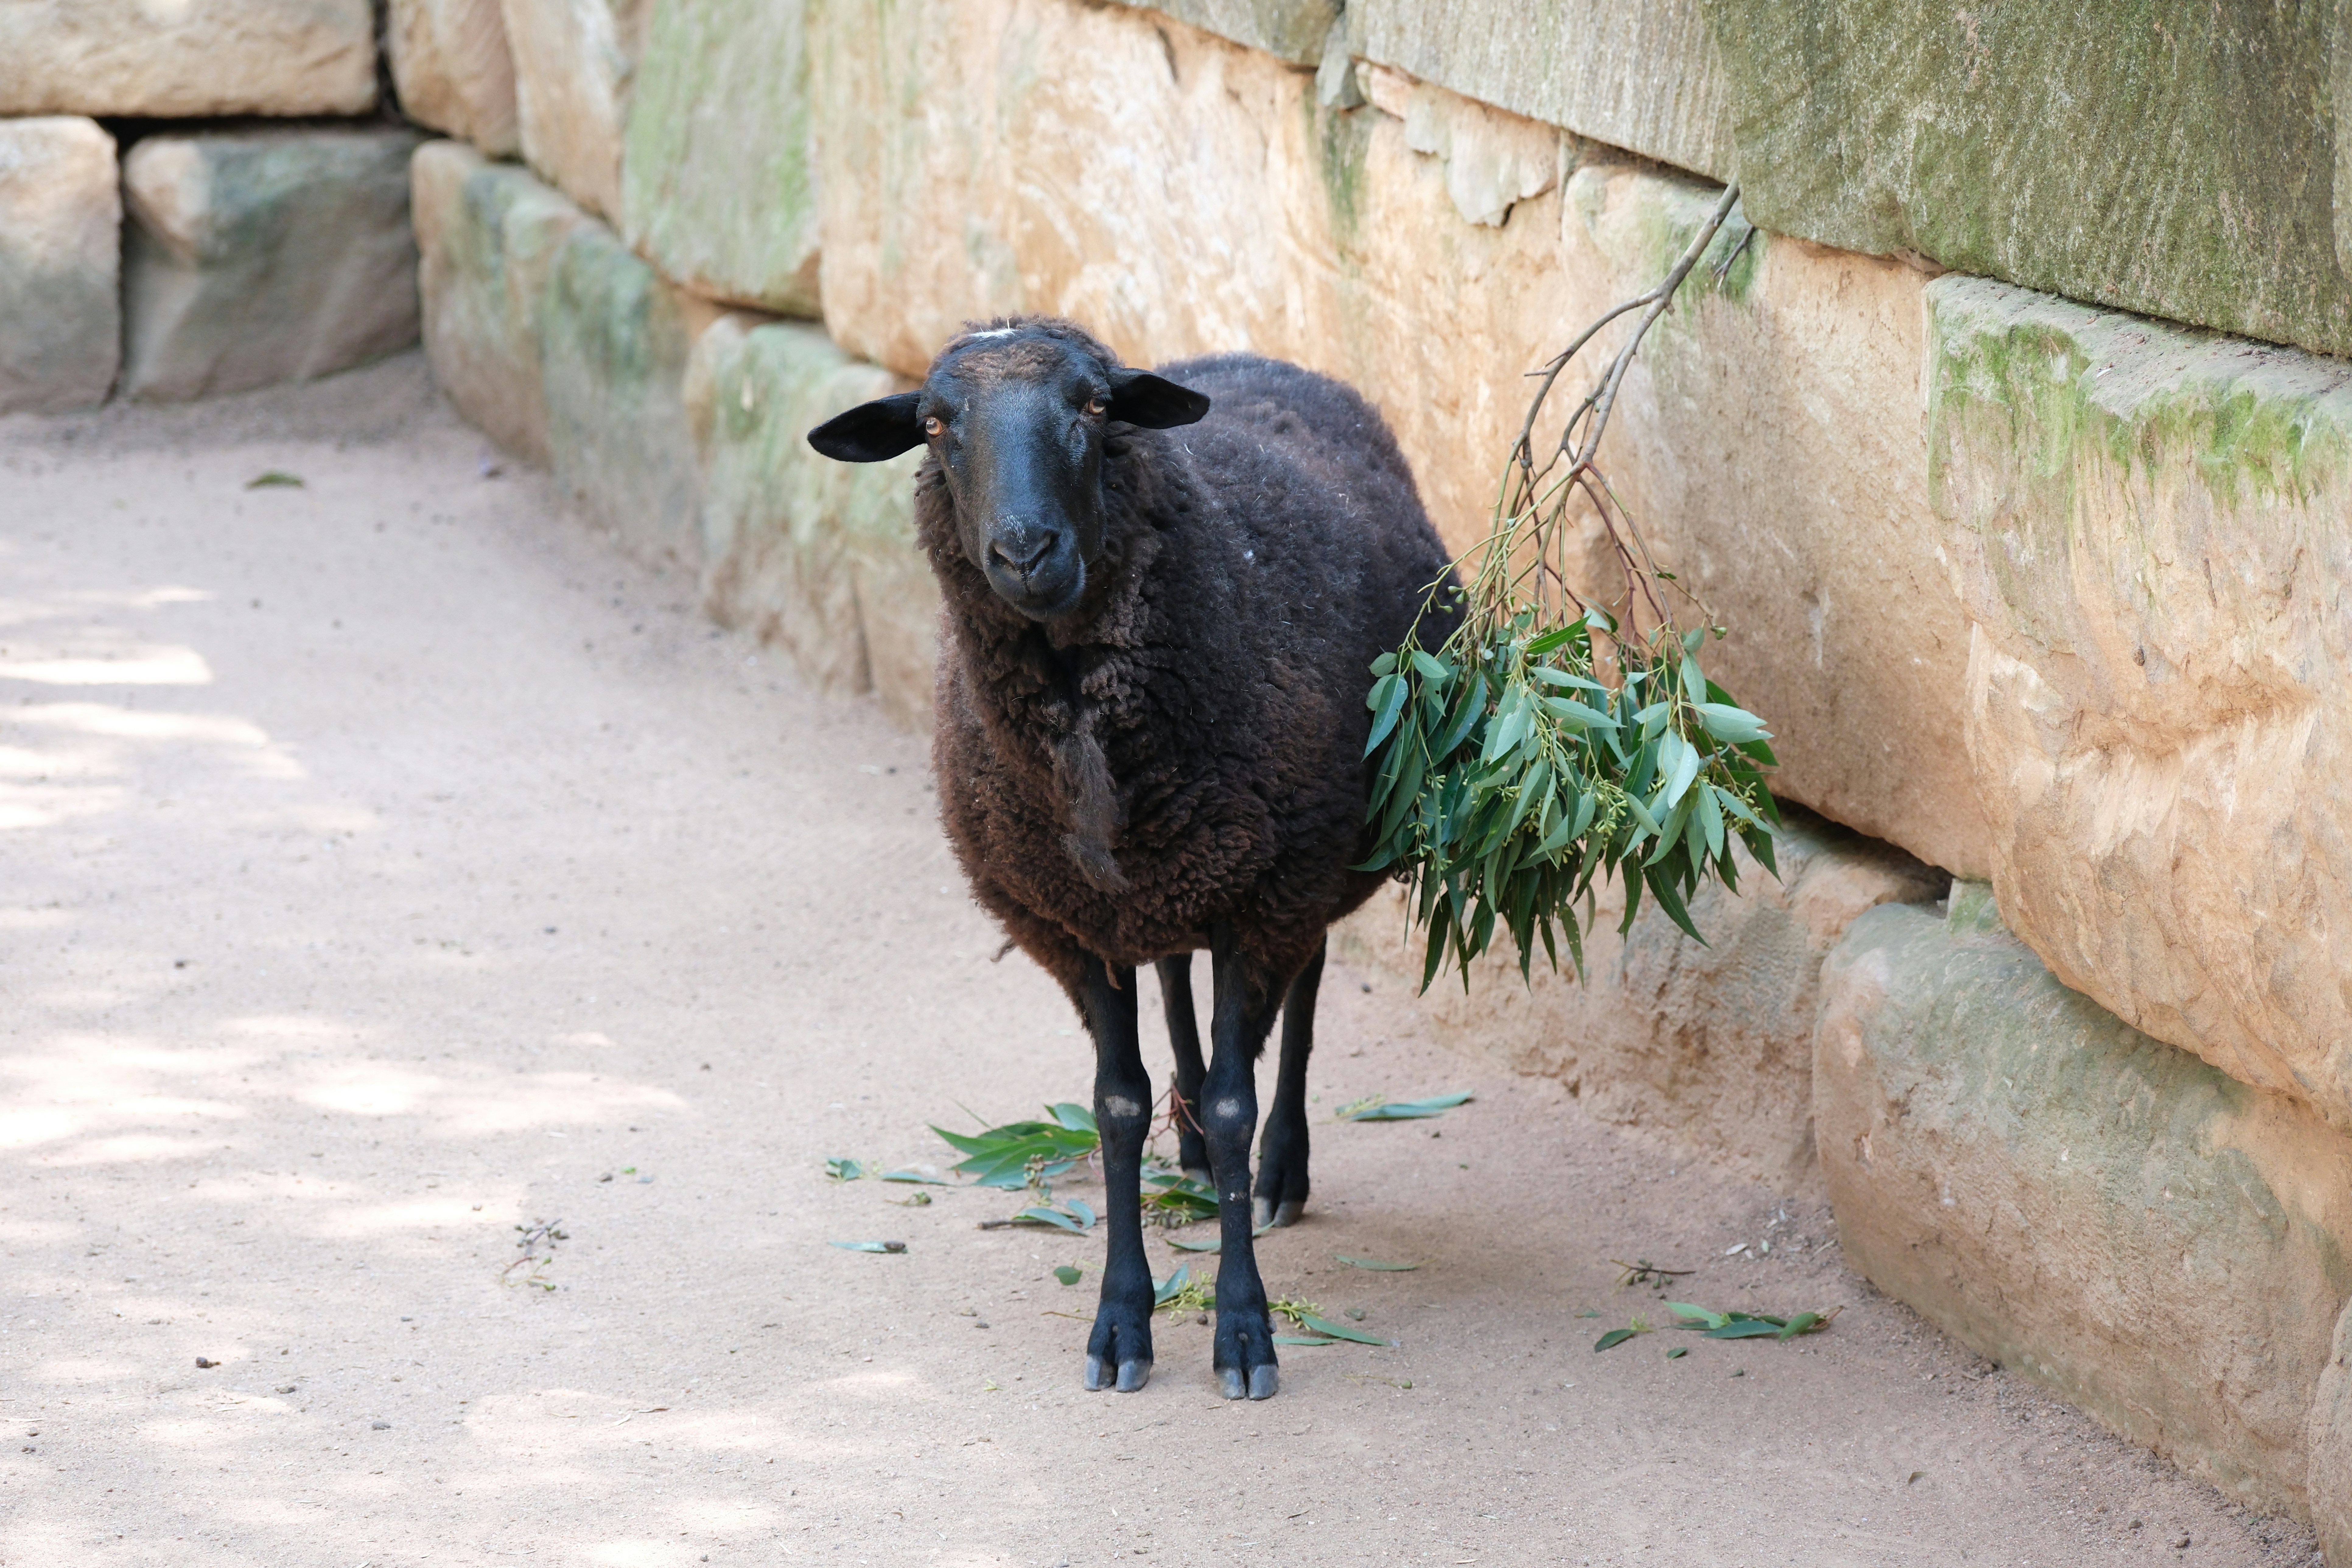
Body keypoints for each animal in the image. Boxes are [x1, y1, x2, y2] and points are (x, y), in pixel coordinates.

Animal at [808, 316, 1457, 1401]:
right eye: (935, 424)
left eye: (1095, 406)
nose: (1026, 551)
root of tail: (1257, 356)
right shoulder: (1070, 921)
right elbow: (1116, 1105)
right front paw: (1120, 1322)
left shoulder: (1265, 895)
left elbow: (1238, 1097)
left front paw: (1243, 1330)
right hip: (1167, 875)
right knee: (1173, 977)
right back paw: (1187, 1146)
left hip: (1306, 858)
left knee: (1301, 993)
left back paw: (1278, 1168)